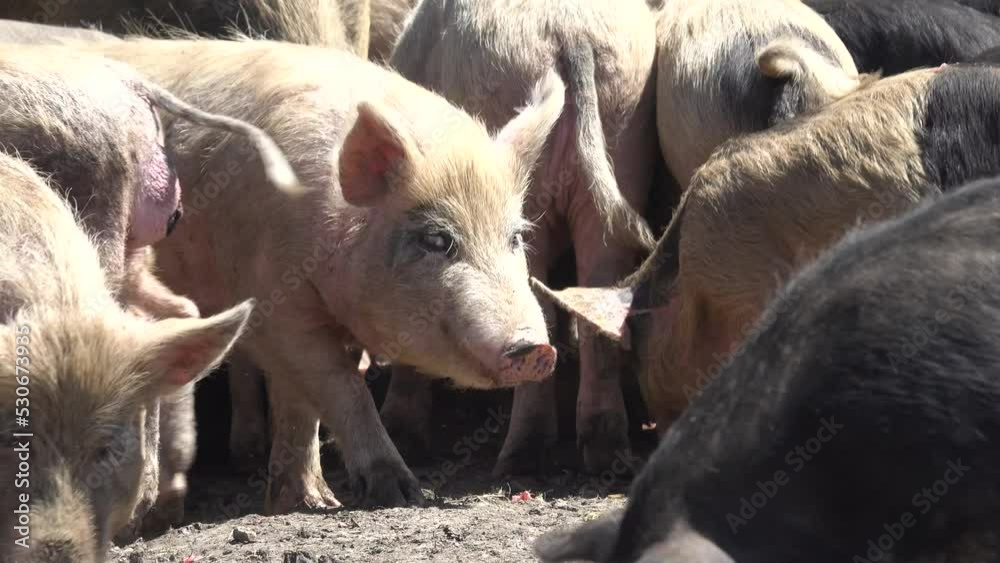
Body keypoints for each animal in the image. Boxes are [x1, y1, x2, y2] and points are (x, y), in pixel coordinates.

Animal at [75, 36, 562, 511]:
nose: (535, 348)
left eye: (516, 237)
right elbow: (341, 387)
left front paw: (306, 501)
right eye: (437, 240)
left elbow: (300, 405)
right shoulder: (276, 301)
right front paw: (401, 493)